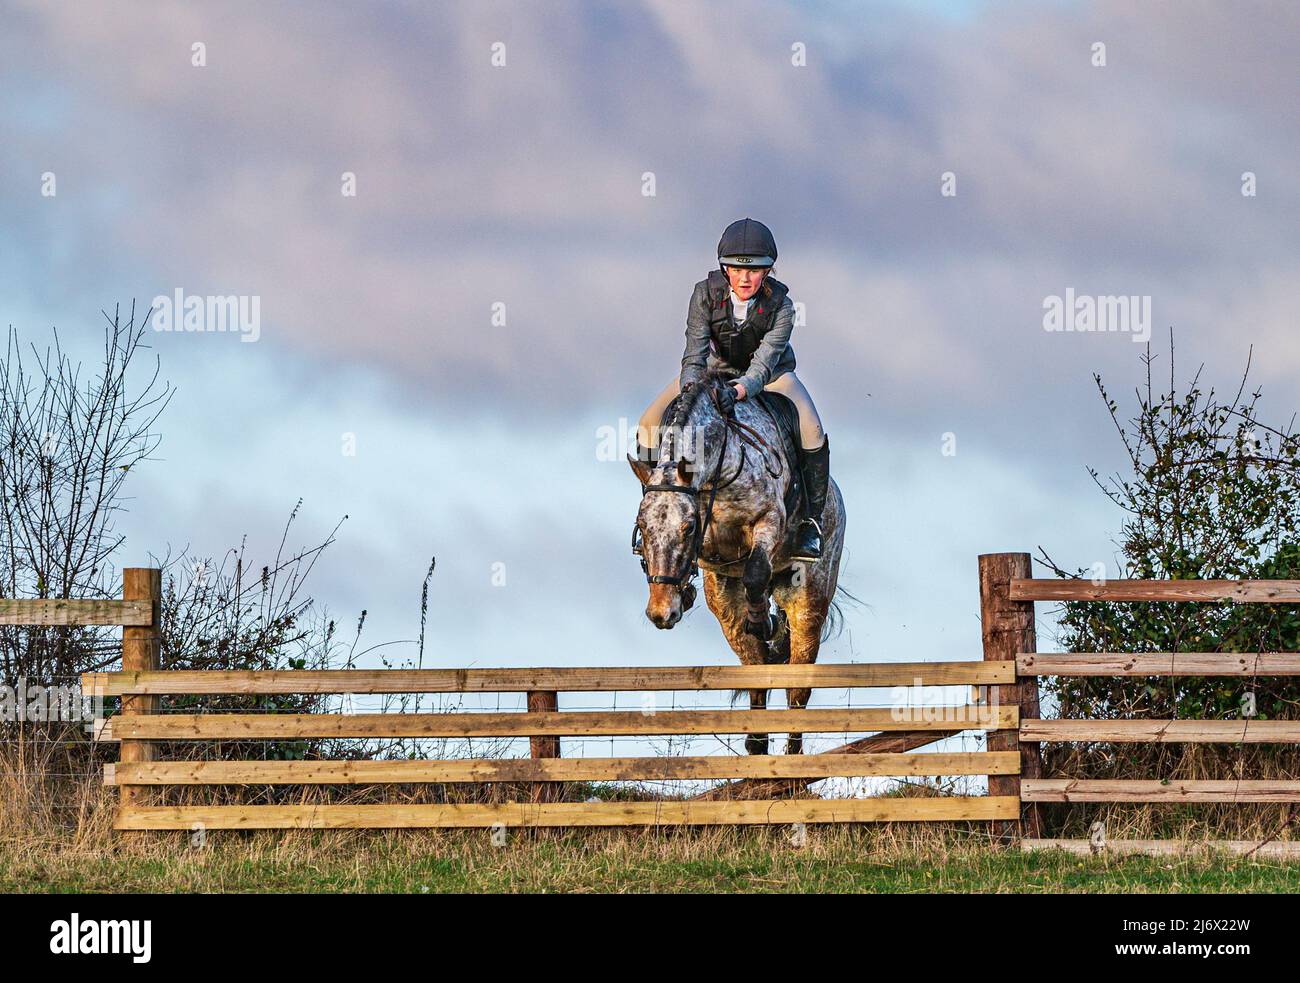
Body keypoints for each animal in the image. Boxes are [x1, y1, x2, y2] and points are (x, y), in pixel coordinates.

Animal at [628, 370, 847, 755]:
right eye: (643, 526)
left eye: (688, 527)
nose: (661, 613)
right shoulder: (713, 555)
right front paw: (682, 593)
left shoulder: (768, 520)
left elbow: (757, 572)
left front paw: (764, 621)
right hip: (726, 607)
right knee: (756, 668)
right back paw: (756, 742)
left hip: (810, 599)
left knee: (798, 683)